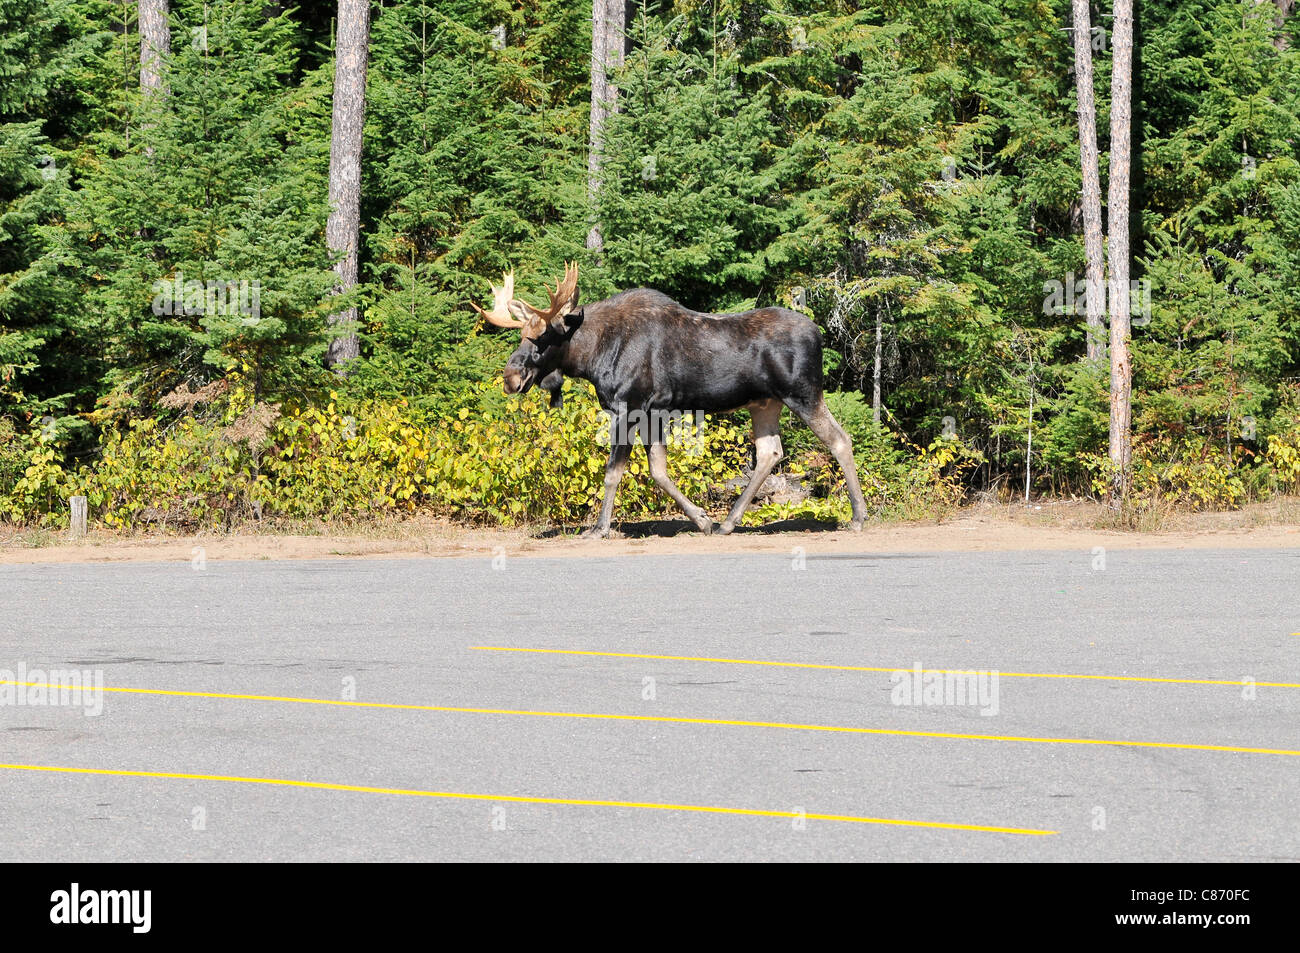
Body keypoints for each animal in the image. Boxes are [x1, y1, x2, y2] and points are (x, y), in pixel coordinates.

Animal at [472, 263, 867, 538]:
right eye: (521, 336)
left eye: (542, 338)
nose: (510, 377)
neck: (592, 356)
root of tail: (820, 333)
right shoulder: (653, 414)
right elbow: (658, 471)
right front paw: (703, 520)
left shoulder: (628, 408)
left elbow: (613, 474)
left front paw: (599, 527)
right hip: (765, 404)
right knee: (770, 452)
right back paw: (727, 523)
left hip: (803, 393)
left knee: (839, 440)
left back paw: (858, 517)